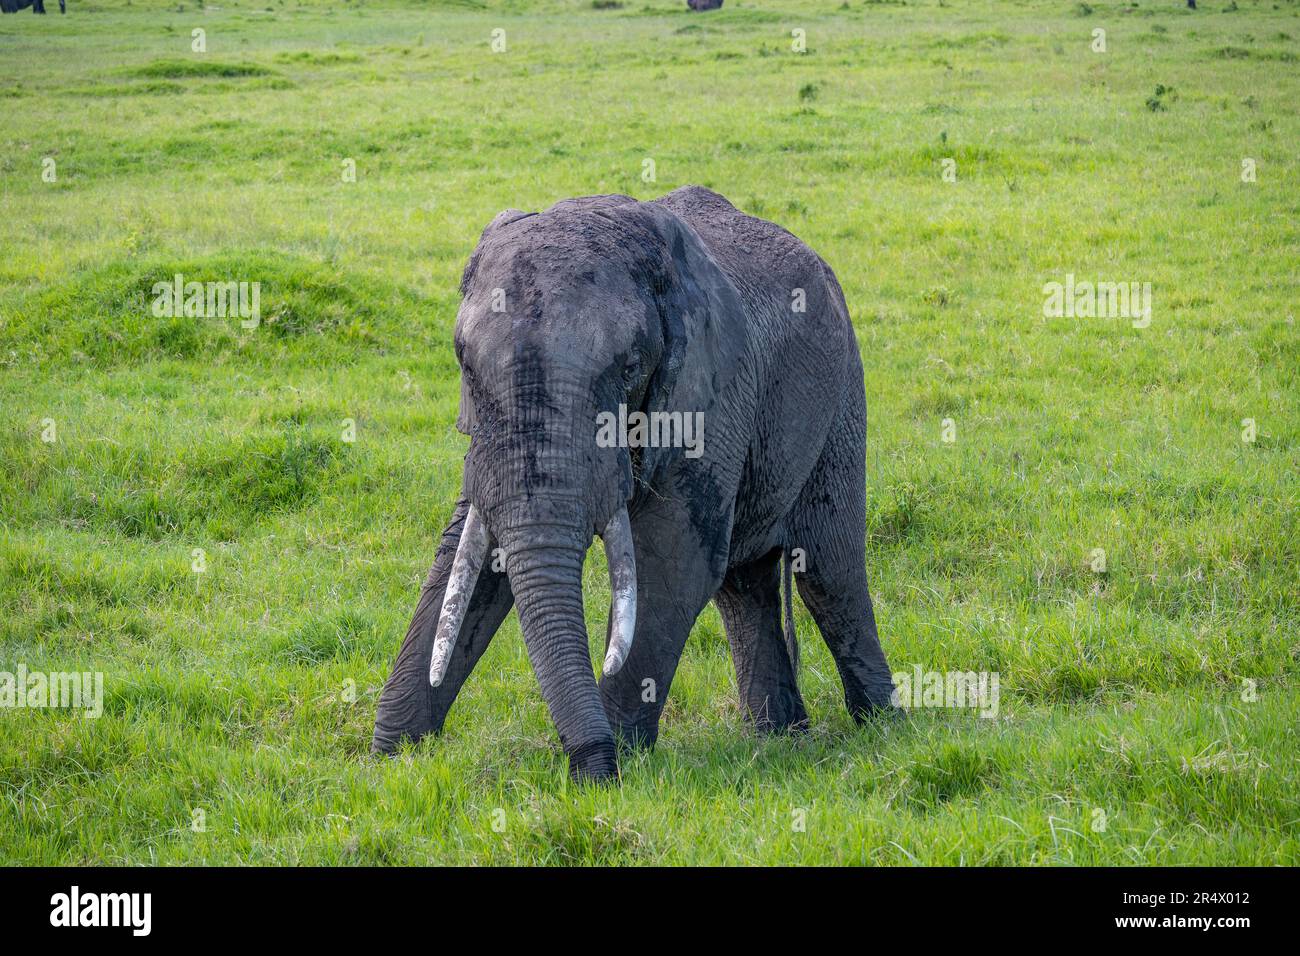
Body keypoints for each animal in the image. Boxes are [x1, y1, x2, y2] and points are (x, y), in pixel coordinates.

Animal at [372, 186, 896, 781]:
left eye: (628, 369)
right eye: (464, 365)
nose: (587, 765)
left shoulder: (709, 392)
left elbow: (671, 558)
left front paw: (614, 764)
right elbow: (469, 551)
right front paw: (391, 757)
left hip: (843, 386)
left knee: (828, 569)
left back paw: (883, 726)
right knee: (745, 584)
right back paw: (781, 736)